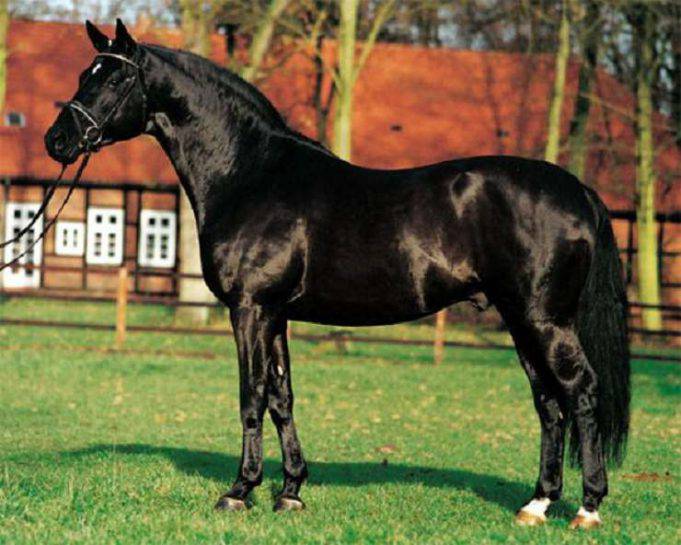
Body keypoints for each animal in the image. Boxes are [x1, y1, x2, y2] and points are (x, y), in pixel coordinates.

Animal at [44, 20, 630, 529]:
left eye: (112, 78)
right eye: (86, 73)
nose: (57, 141)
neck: (251, 174)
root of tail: (579, 191)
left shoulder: (250, 309)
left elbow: (251, 396)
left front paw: (240, 491)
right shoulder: (275, 314)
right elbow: (281, 398)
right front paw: (290, 491)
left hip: (544, 319)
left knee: (580, 391)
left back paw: (587, 507)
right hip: (519, 319)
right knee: (549, 402)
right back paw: (537, 504)